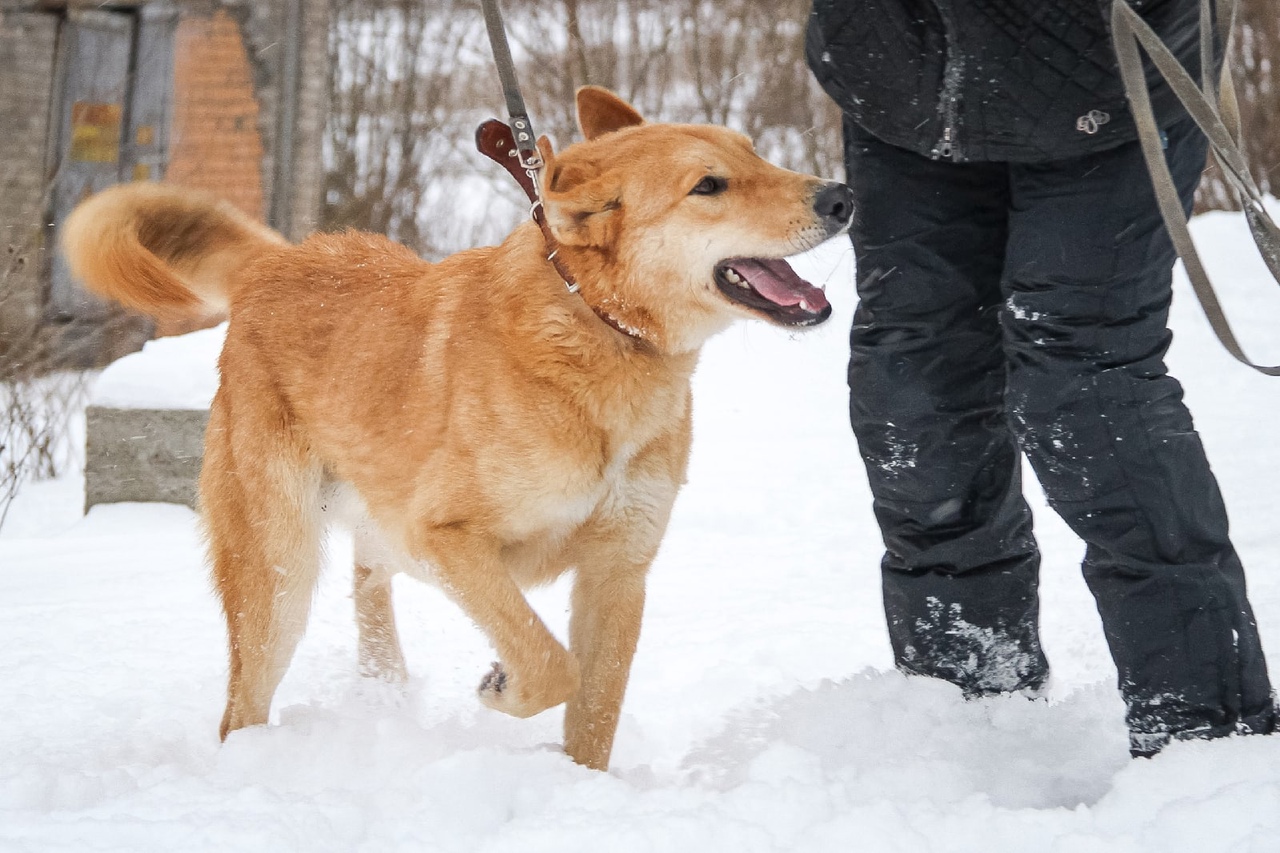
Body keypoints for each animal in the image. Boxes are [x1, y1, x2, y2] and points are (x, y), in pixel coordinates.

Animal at [64, 87, 855, 768]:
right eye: (708, 186)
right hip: (281, 571)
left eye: (755, 154)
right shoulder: (448, 537)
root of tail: (282, 260)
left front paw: (579, 791)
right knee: (243, 703)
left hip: (374, 521)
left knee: (368, 580)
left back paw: (384, 689)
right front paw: (504, 688)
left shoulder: (618, 574)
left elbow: (595, 710)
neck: (599, 330)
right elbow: (552, 665)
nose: (842, 197)